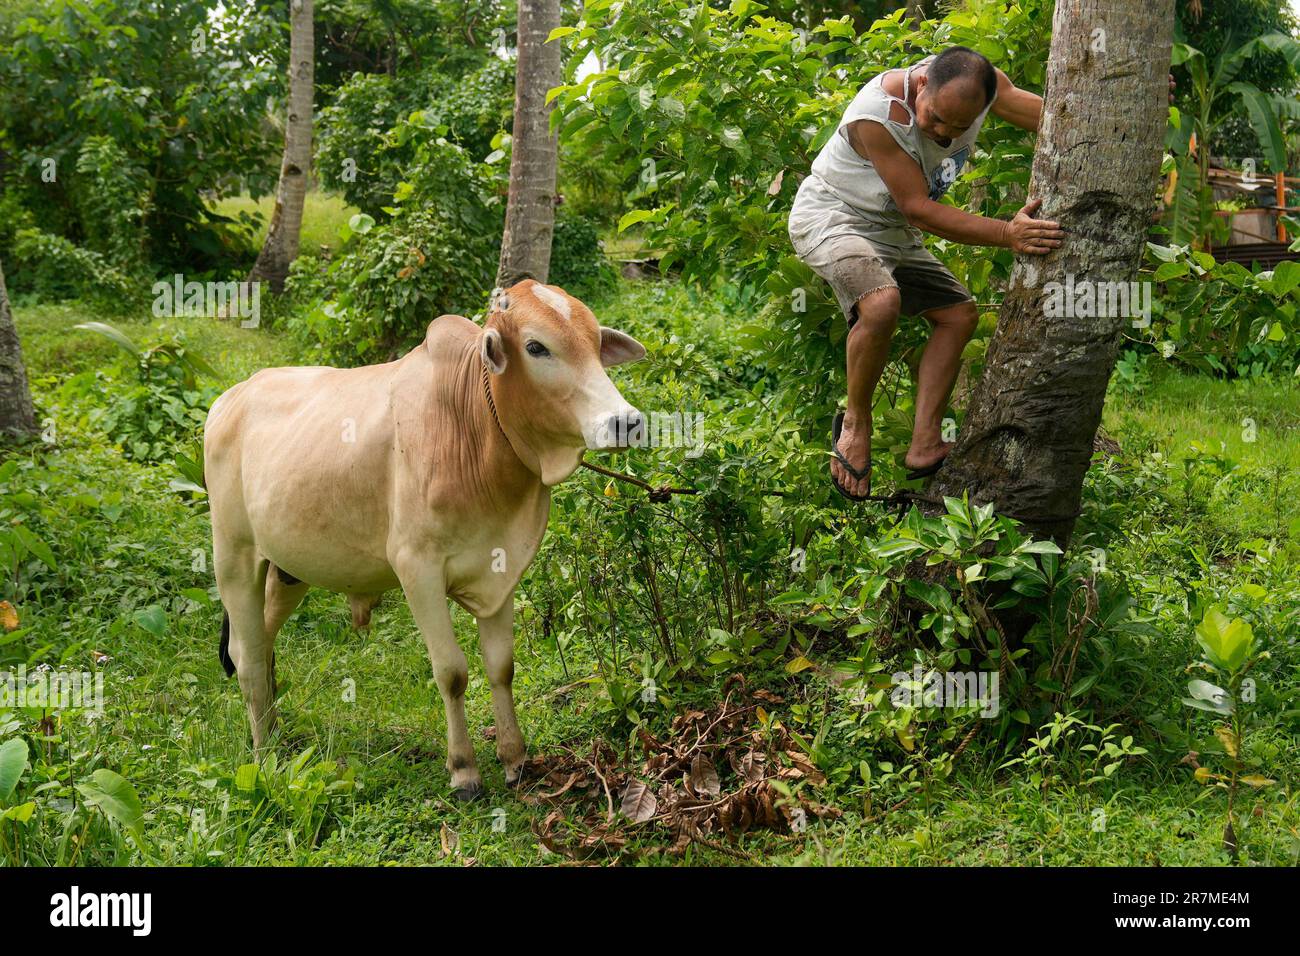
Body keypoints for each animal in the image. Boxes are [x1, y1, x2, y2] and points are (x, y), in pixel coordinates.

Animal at [203, 279, 646, 800]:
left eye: (596, 343)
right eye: (537, 347)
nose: (626, 422)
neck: (475, 426)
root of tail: (229, 399)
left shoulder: (501, 570)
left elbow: (501, 666)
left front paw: (514, 759)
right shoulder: (418, 570)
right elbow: (452, 672)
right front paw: (464, 771)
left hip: (288, 570)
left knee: (259, 644)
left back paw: (275, 730)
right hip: (234, 557)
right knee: (248, 658)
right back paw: (264, 754)